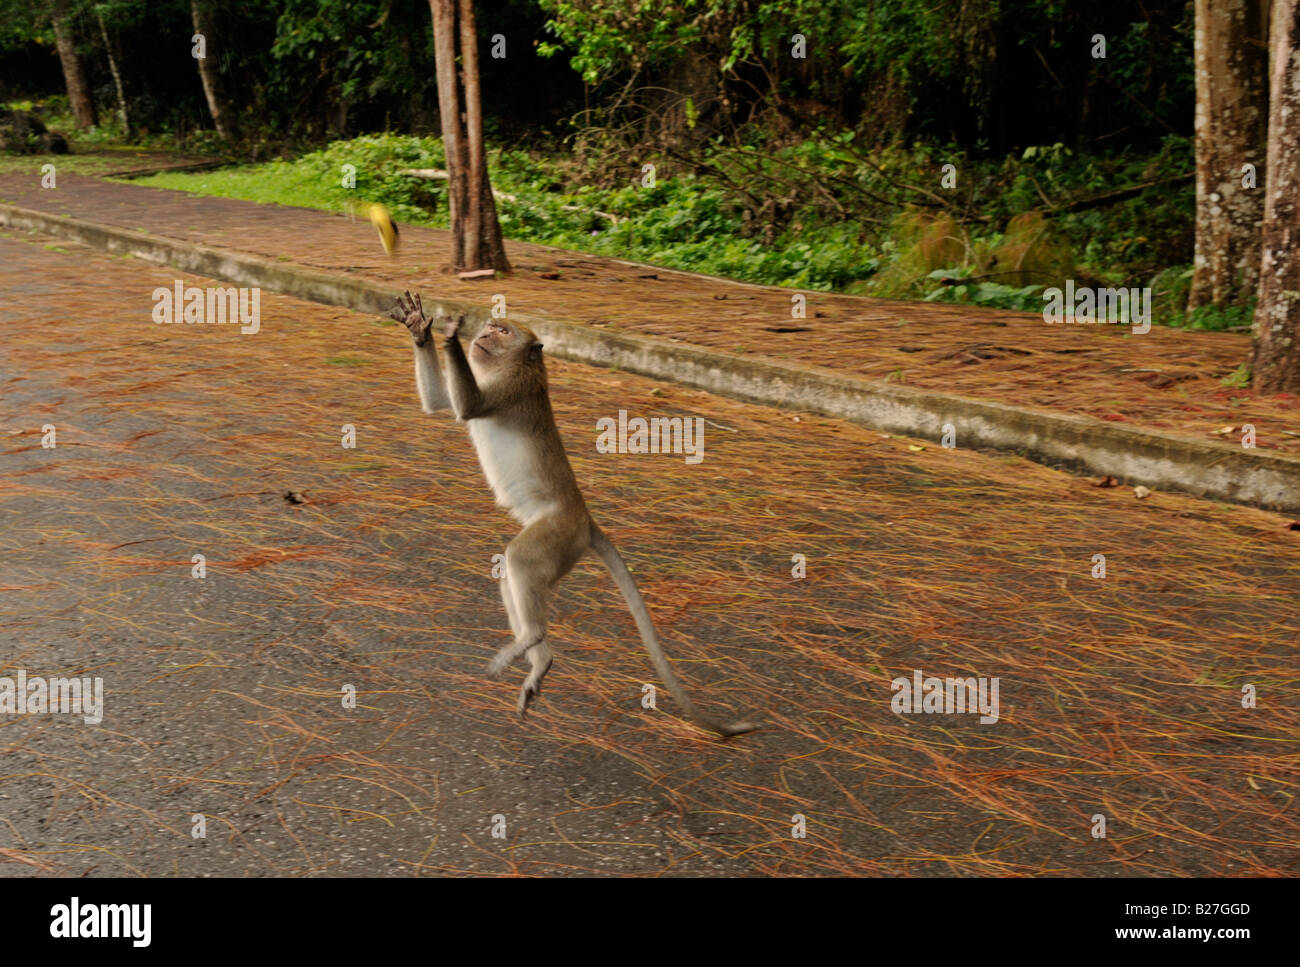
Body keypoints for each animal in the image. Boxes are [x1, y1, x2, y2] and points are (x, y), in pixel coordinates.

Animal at [388, 291, 757, 738]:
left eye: (502, 331)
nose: (485, 335)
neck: (513, 366)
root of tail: (585, 518)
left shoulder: (513, 387)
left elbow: (469, 406)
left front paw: (449, 336)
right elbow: (440, 404)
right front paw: (419, 328)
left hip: (558, 535)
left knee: (520, 560)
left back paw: (533, 637)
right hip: (561, 544)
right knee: (511, 573)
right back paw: (540, 660)